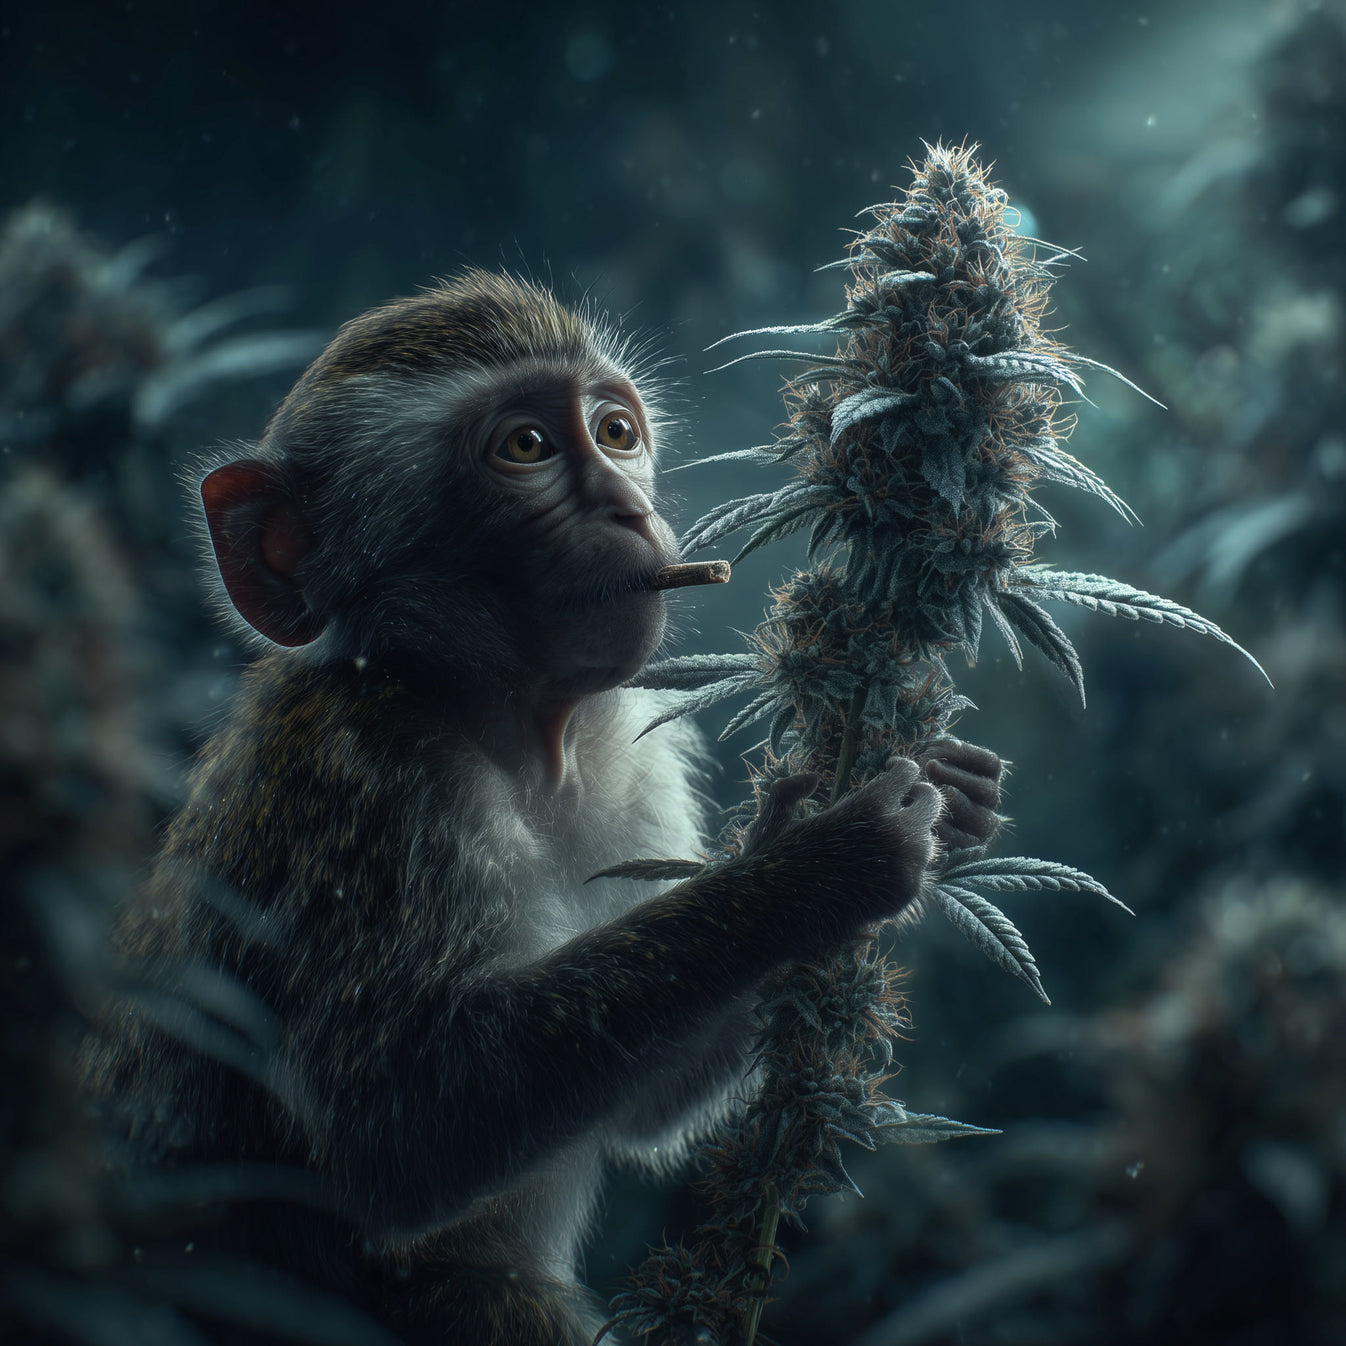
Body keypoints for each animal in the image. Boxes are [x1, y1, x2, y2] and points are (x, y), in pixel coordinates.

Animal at [78, 271, 1002, 1345]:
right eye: (525, 448)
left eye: (615, 432)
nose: (629, 509)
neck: (517, 737)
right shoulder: (364, 789)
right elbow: (395, 1138)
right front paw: (820, 867)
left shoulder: (629, 749)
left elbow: (639, 1108)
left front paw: (922, 804)